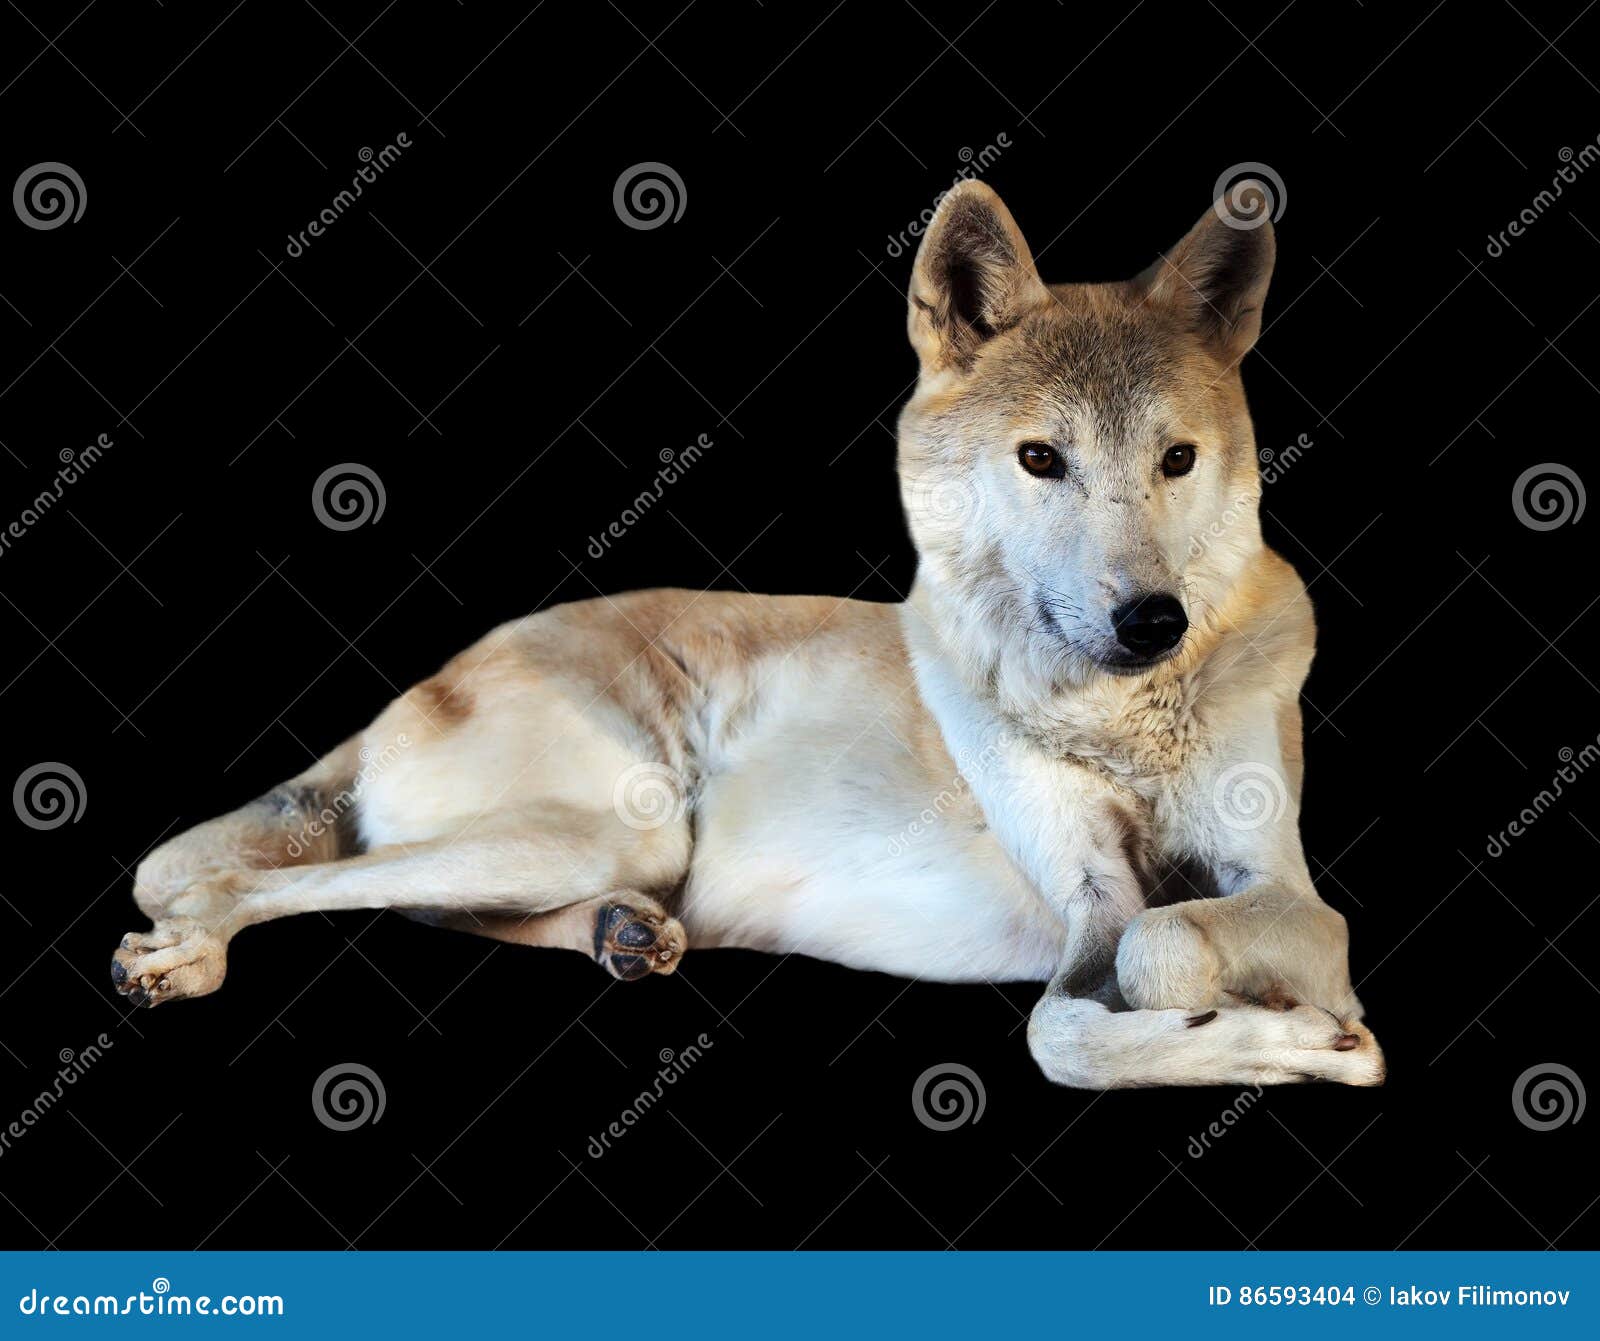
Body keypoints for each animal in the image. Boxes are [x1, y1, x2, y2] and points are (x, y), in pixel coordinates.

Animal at [112, 179, 1383, 1088]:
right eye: (1039, 459)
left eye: (1176, 460)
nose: (1150, 621)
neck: (1114, 715)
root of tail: (414, 690)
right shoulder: (1091, 901)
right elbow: (1085, 1005)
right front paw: (1291, 1039)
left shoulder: (1287, 890)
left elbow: (1148, 954)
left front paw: (1275, 1025)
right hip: (606, 828)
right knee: (252, 883)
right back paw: (184, 951)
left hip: (604, 853)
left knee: (418, 900)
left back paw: (622, 937)